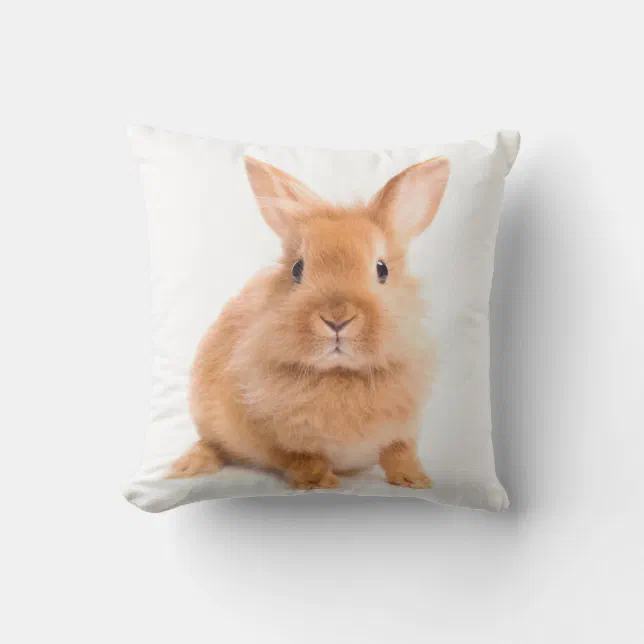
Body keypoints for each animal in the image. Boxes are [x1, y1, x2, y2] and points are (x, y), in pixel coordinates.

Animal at [169, 154, 450, 490]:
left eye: (382, 269)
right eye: (297, 269)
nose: (337, 318)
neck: (340, 375)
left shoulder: (403, 428)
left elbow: (399, 452)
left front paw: (416, 481)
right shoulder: (278, 438)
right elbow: (303, 458)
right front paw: (321, 484)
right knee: (211, 443)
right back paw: (187, 467)